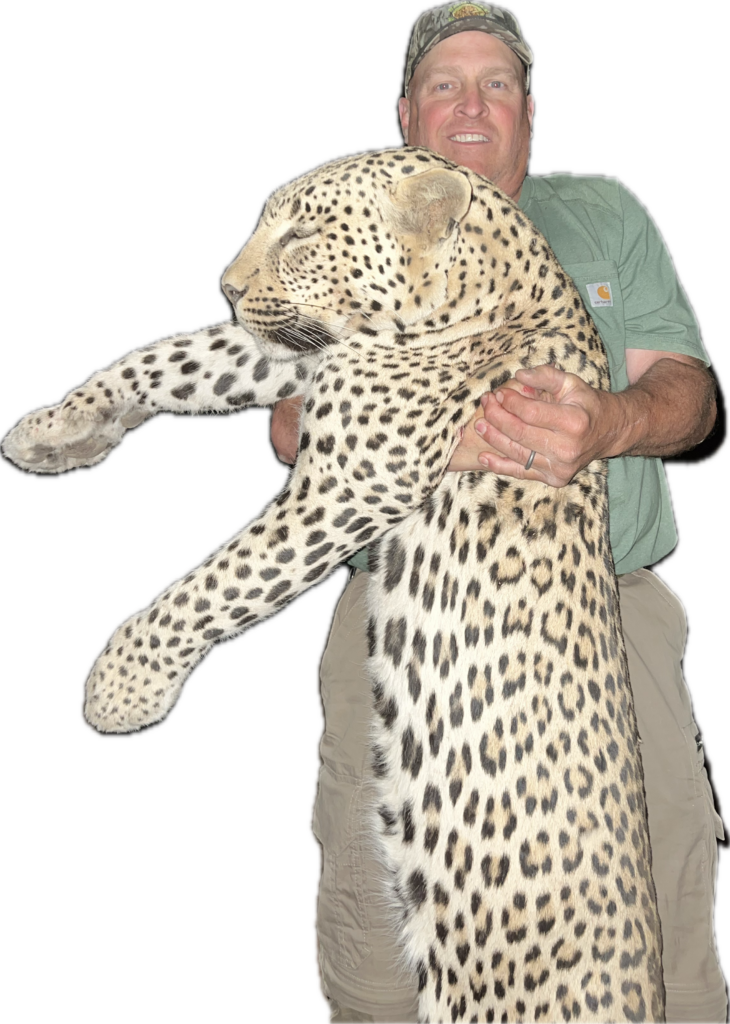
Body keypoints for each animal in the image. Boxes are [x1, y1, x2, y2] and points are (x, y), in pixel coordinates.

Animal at [3, 146, 664, 1022]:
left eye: (305, 234)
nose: (227, 286)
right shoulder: (302, 348)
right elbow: (174, 357)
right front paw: (58, 427)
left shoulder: (353, 482)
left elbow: (222, 581)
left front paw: (121, 686)